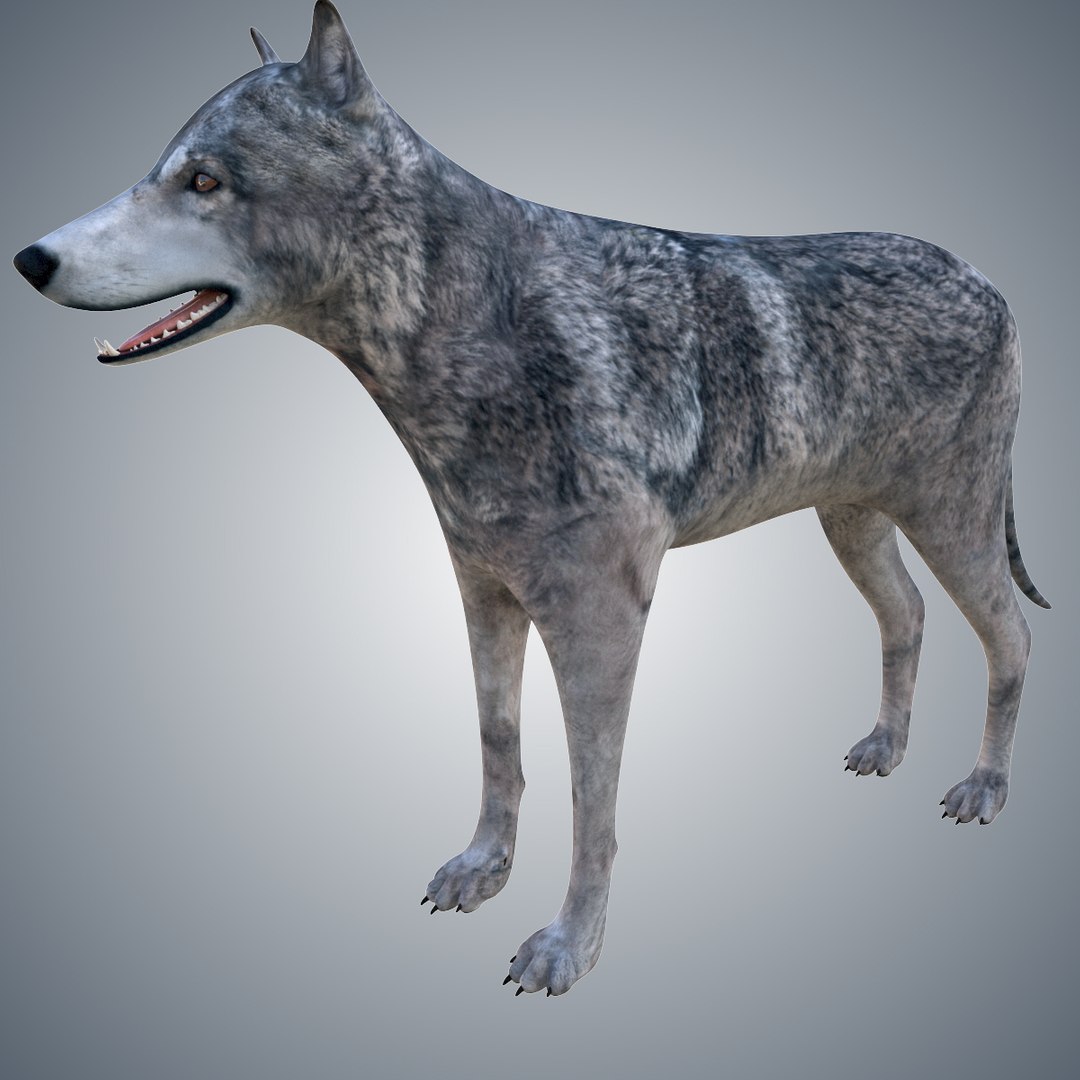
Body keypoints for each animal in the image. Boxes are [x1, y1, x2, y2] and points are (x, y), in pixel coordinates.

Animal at [13, 1, 1049, 996]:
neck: (481, 323)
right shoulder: (482, 589)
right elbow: (498, 740)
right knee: (907, 614)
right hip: (854, 519)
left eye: (204, 182)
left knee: (1012, 637)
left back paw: (985, 787)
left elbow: (595, 802)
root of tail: (988, 280)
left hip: (952, 521)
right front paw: (484, 869)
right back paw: (886, 747)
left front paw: (568, 947)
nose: (28, 259)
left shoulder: (601, 620)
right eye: (165, 170)